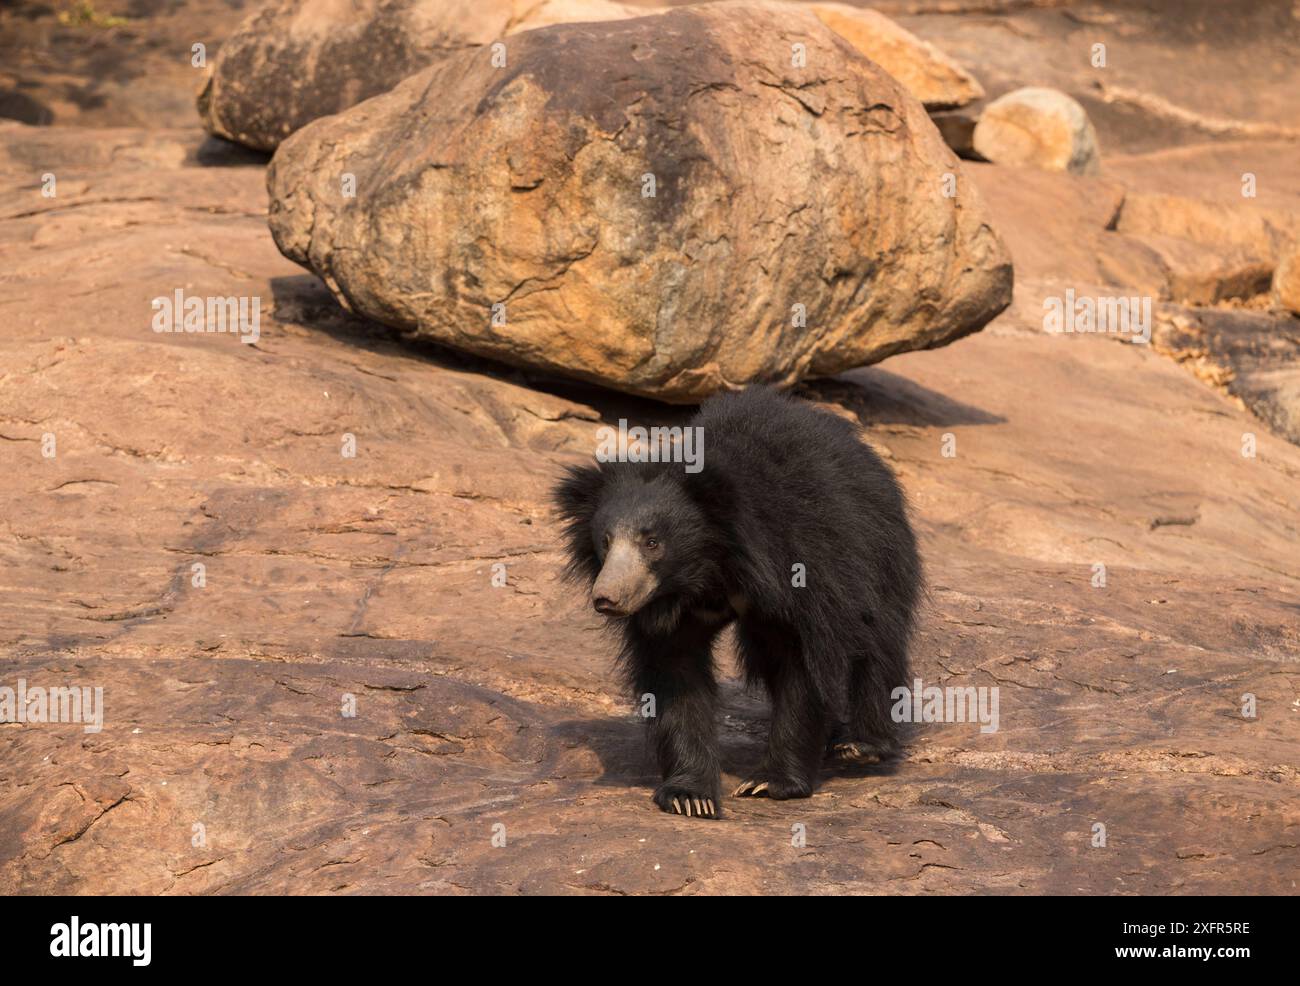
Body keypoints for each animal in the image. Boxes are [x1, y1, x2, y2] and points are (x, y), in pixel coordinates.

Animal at [553, 386, 921, 819]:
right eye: (606, 541)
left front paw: (770, 783)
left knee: (878, 641)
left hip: (880, 553)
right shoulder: (669, 607)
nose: (606, 598)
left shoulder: (801, 562)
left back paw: (861, 745)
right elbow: (675, 670)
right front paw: (690, 796)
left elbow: (805, 659)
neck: (708, 568)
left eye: (652, 542)